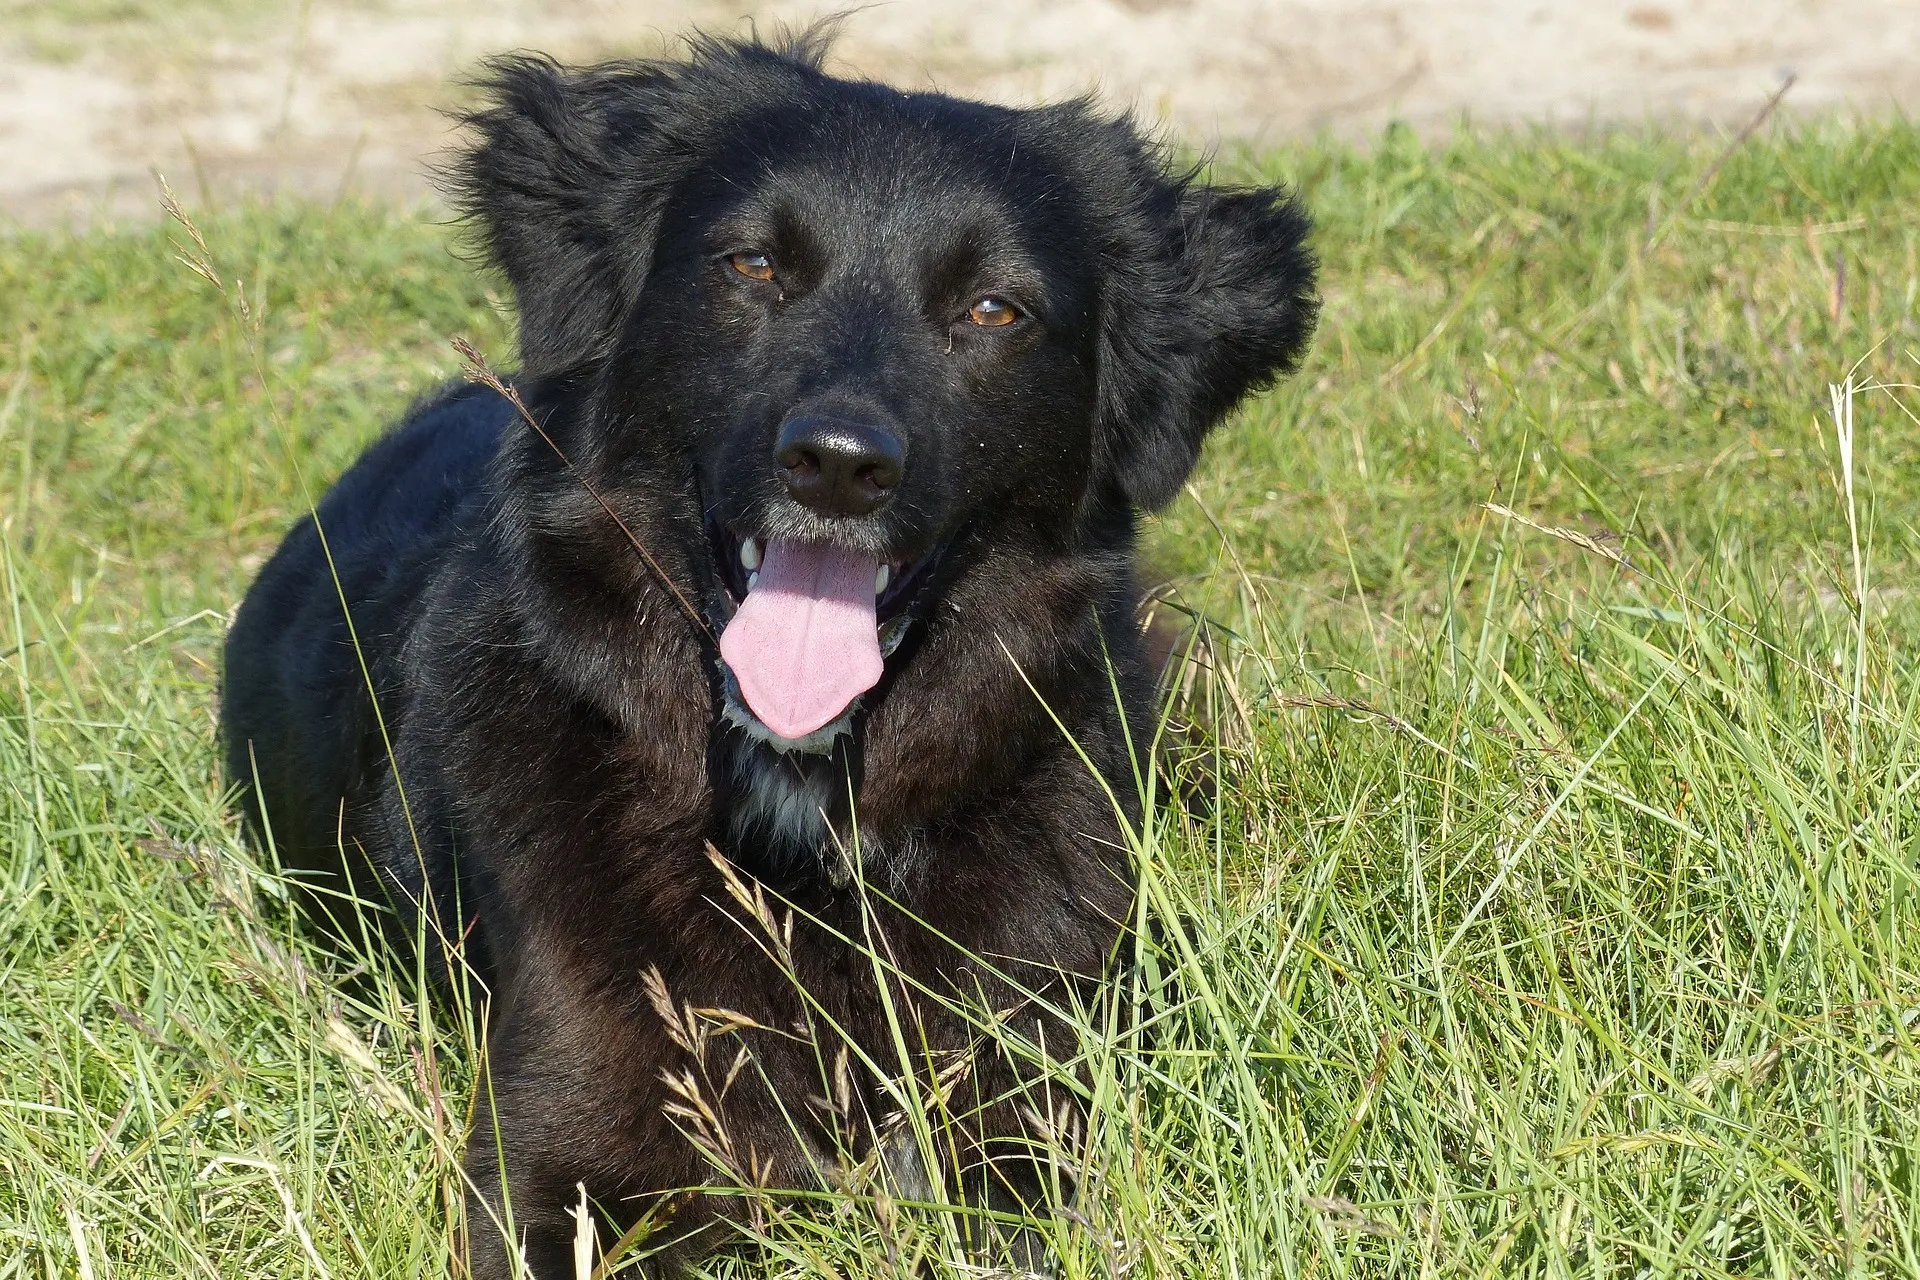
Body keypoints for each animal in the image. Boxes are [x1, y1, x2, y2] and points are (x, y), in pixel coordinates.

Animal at [217, 32, 1313, 1280]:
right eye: (751, 266)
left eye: (995, 309)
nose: (836, 464)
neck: (794, 821)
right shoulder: (560, 1160)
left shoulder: (1025, 1104)